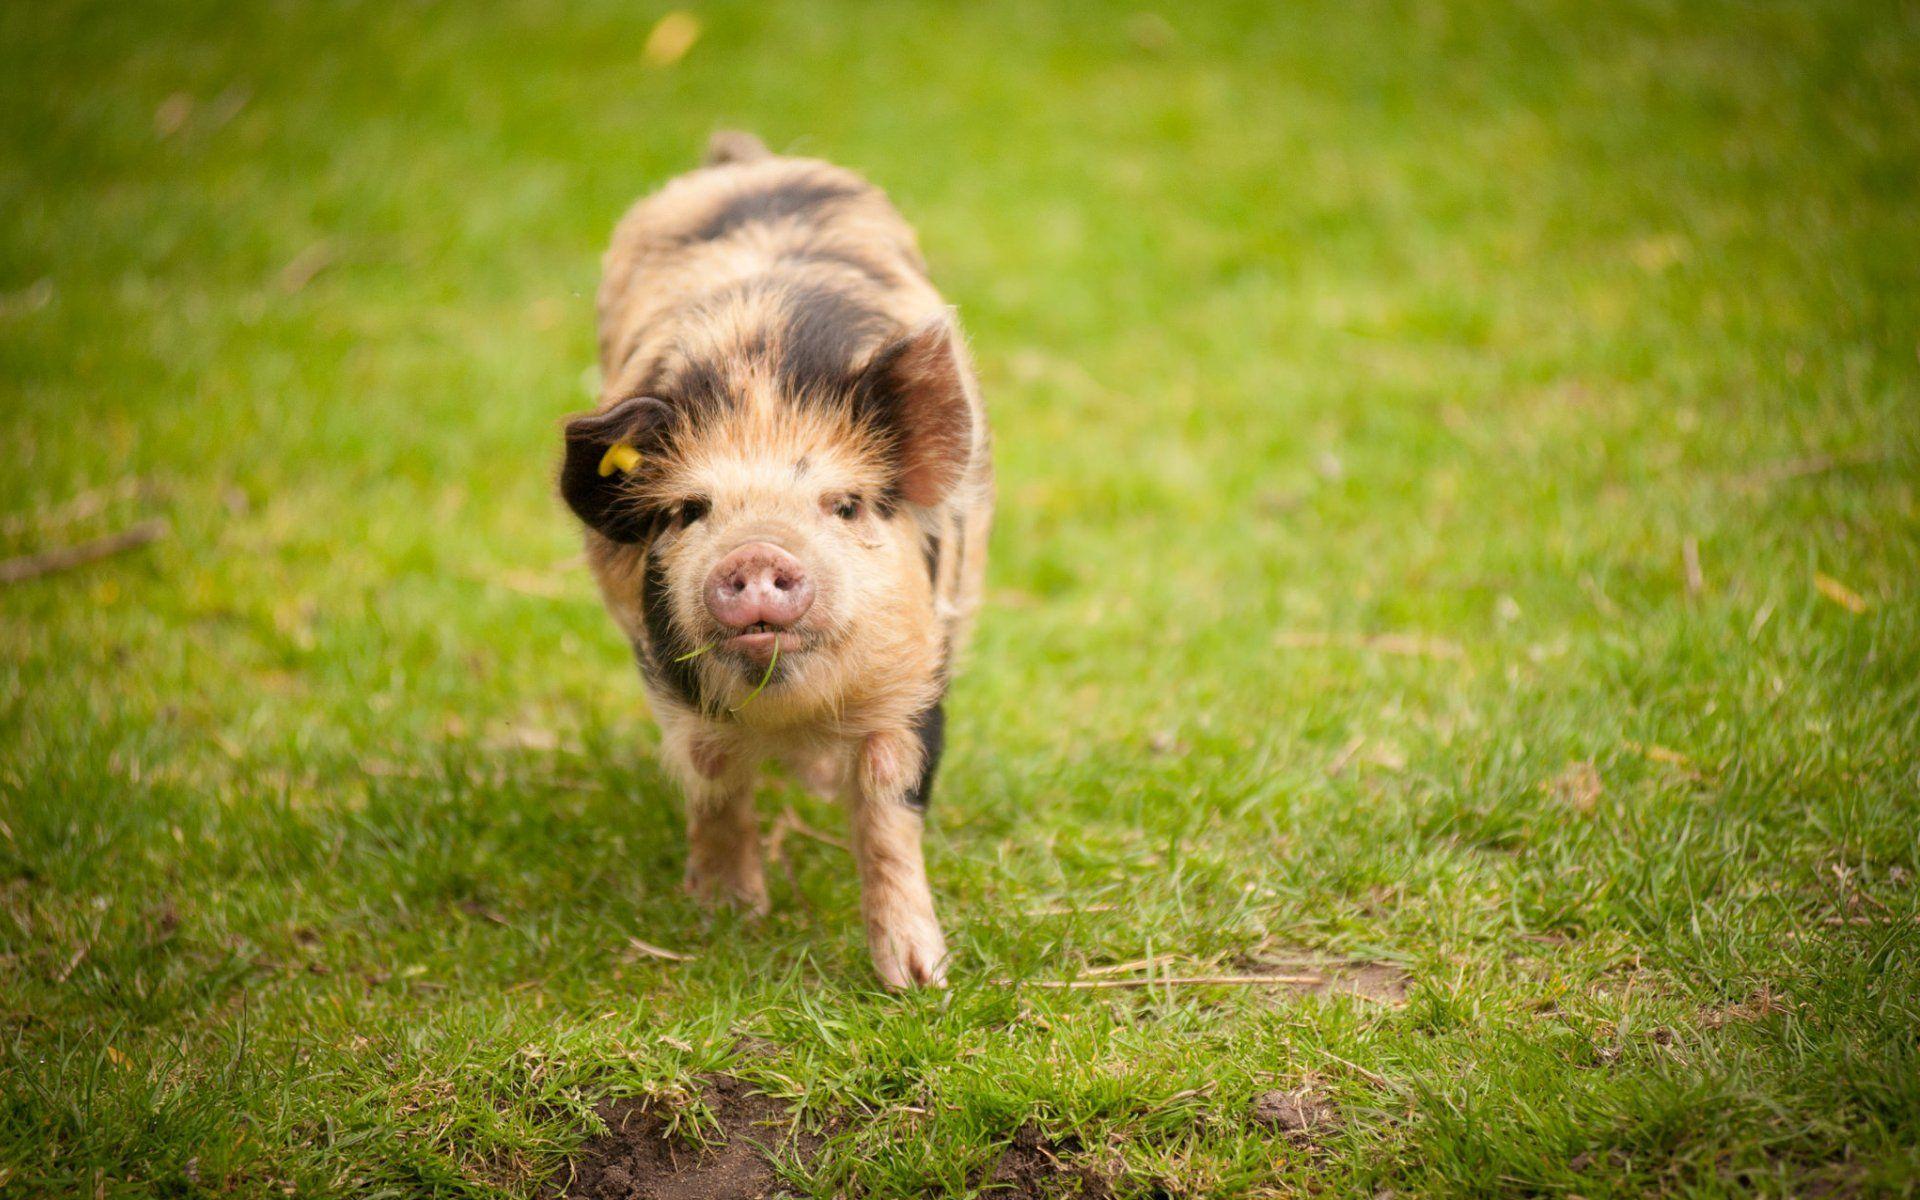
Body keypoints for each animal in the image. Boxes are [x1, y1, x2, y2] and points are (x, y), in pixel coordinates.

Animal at [559, 132, 991, 988]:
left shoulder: (916, 673)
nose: (758, 551)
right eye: (689, 511)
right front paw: (728, 914)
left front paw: (918, 980)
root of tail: (747, 157)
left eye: (845, 505)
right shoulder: (671, 685)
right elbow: (715, 782)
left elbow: (889, 809)